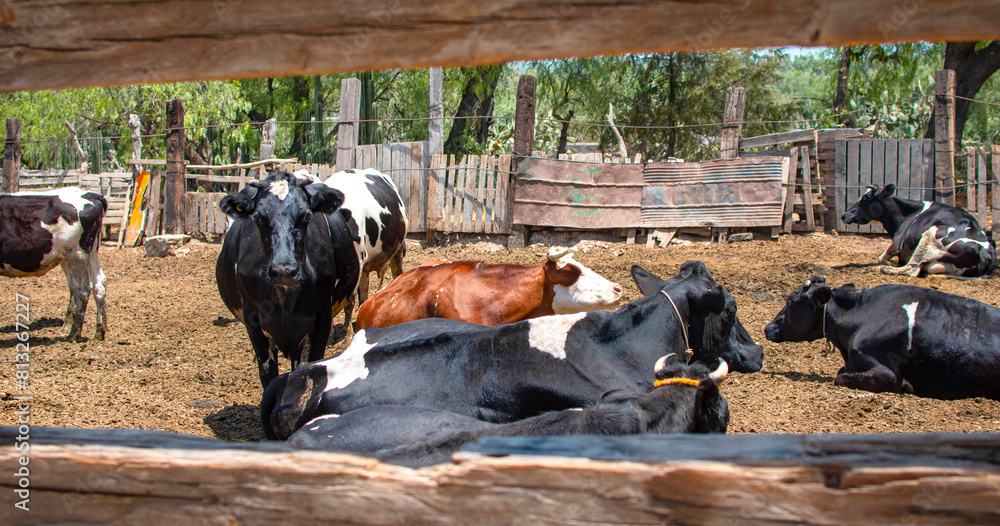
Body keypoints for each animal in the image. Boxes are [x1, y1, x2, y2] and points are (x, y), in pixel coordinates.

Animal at [0, 187, 108, 341]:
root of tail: (89, 195)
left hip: (77, 254)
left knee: (83, 289)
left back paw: (74, 333)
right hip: (89, 252)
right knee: (98, 284)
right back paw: (99, 331)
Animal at [216, 171, 362, 387]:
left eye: (307, 215)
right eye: (258, 217)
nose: (284, 271)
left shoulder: (321, 317)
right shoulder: (253, 321)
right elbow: (267, 370)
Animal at [842, 184, 996, 278]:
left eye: (865, 198)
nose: (844, 215)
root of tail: (987, 252)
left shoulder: (896, 244)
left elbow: (881, 258)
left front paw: (884, 264)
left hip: (929, 238)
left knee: (912, 268)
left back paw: (882, 269)